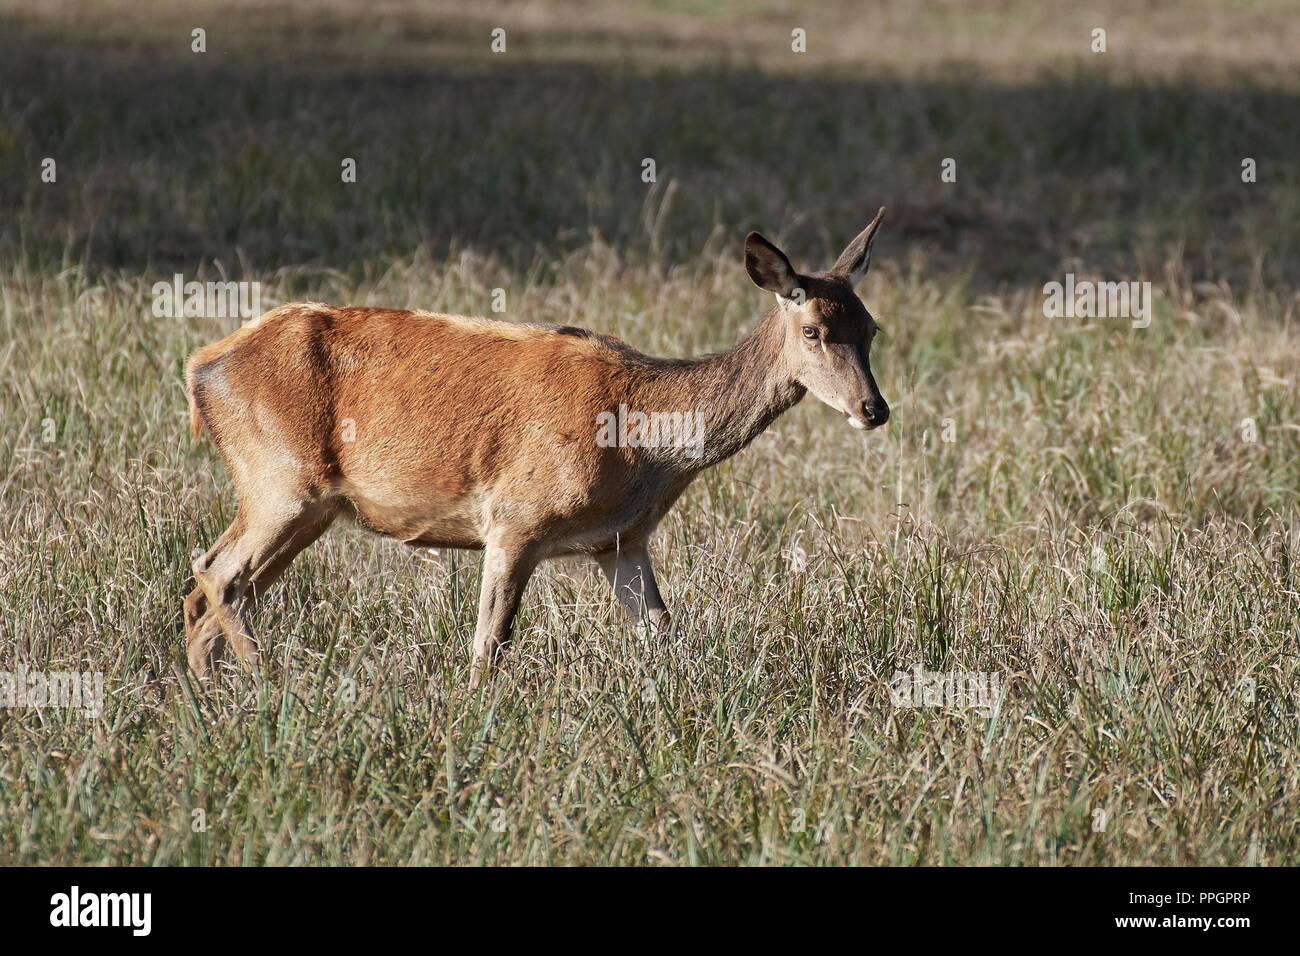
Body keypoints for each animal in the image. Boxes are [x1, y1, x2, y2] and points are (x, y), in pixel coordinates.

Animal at [183, 208, 890, 687]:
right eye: (815, 330)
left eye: (872, 327)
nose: (874, 409)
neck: (646, 447)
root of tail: (200, 369)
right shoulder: (515, 518)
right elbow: (488, 645)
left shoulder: (621, 541)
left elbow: (663, 632)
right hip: (282, 480)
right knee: (217, 574)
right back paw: (269, 686)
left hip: (305, 504)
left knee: (207, 591)